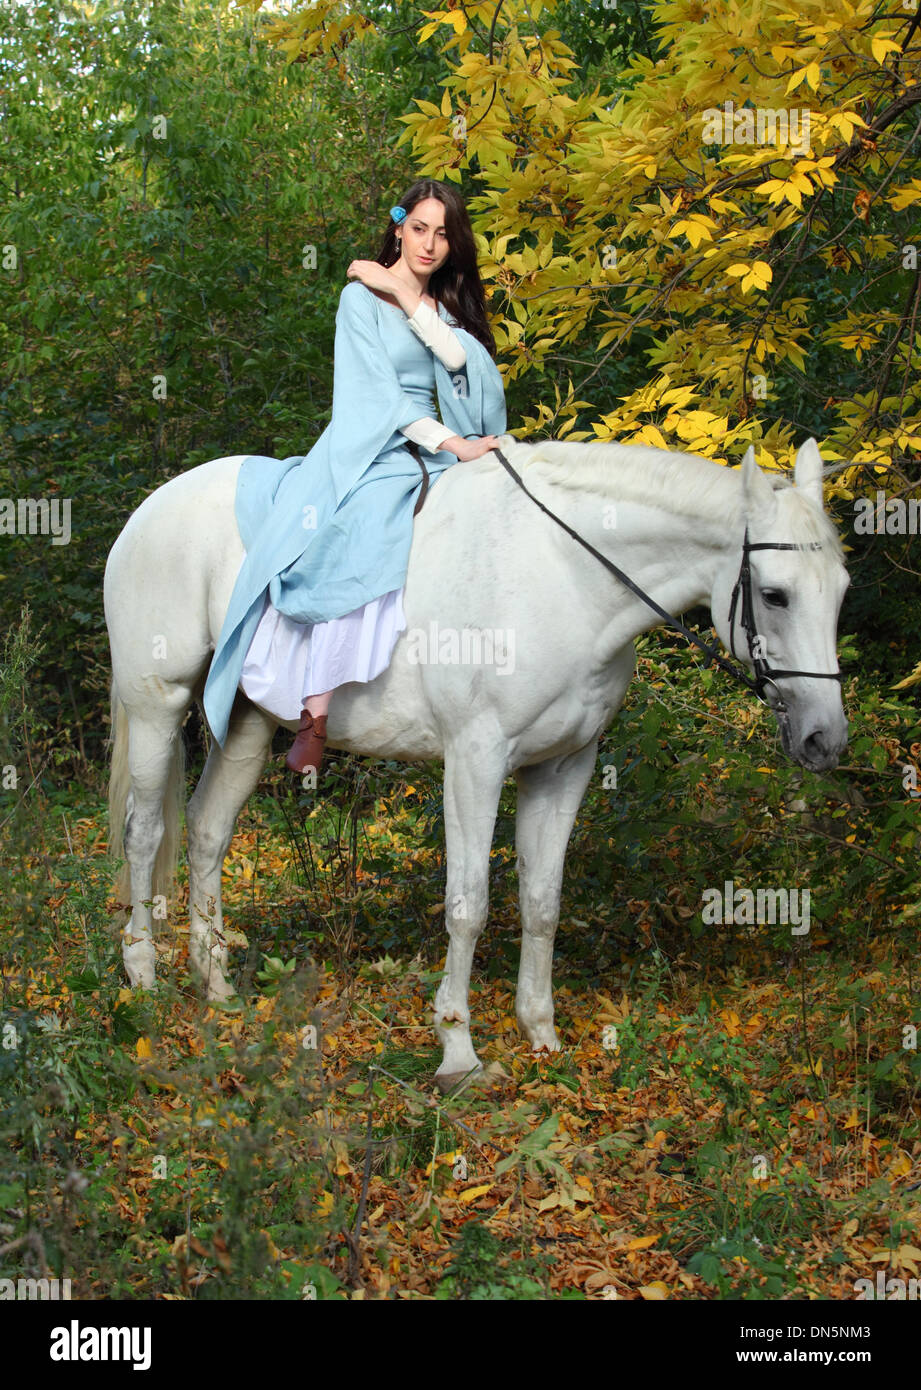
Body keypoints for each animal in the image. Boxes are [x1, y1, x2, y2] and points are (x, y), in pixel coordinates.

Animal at [104, 434, 849, 1089]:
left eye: (840, 590)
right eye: (775, 594)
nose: (825, 740)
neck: (564, 575)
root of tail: (149, 510)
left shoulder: (564, 767)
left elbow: (542, 901)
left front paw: (540, 1033)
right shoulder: (474, 761)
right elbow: (468, 904)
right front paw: (457, 1048)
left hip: (249, 723)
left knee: (206, 830)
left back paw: (215, 984)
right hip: (157, 707)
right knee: (143, 832)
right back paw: (142, 973)